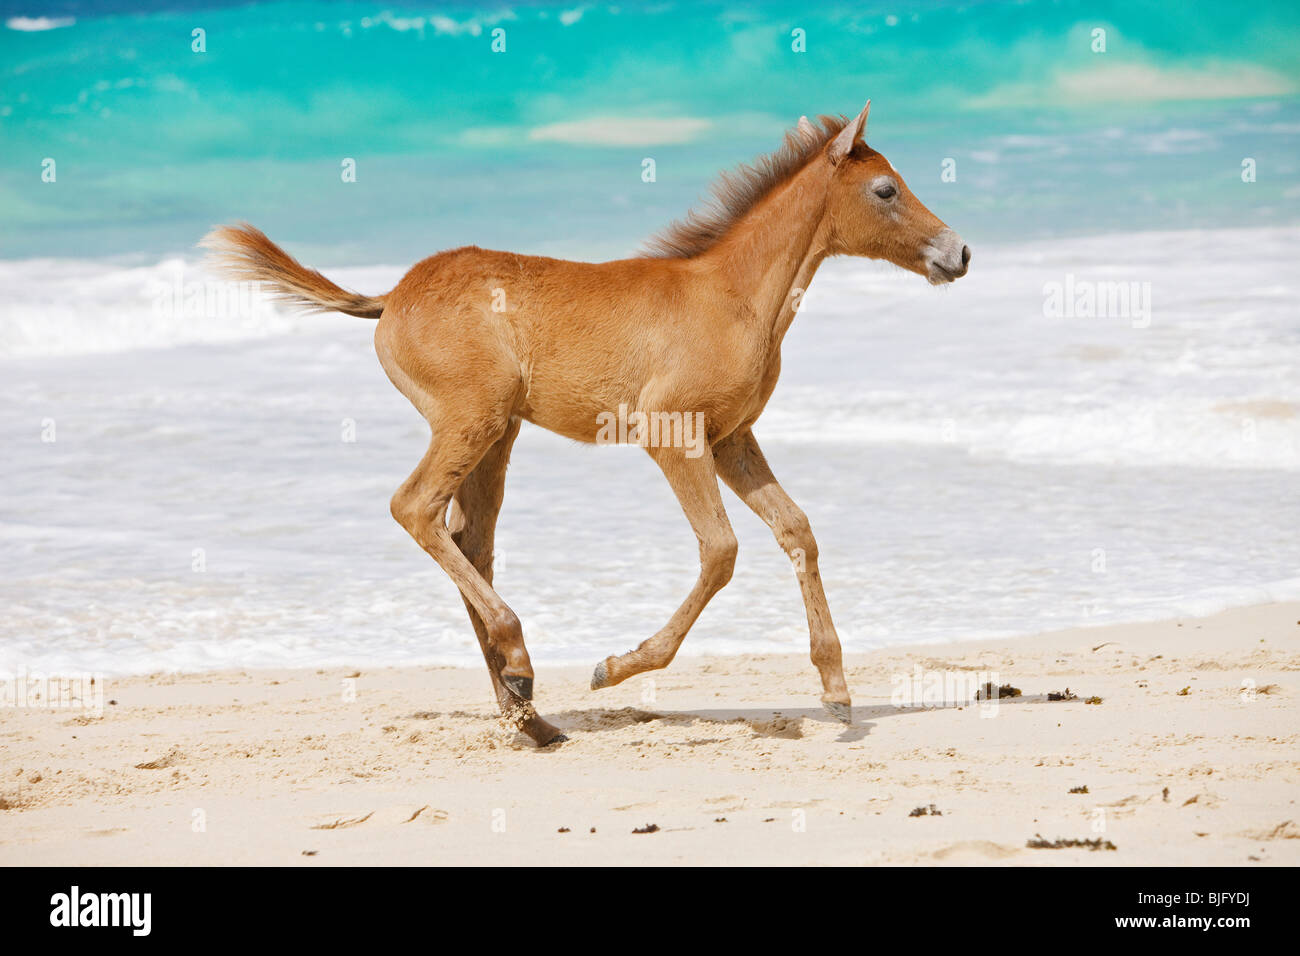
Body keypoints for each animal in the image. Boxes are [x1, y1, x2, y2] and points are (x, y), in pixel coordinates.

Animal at [204, 101, 970, 746]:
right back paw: (518, 661)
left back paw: (527, 713)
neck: (731, 298)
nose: (958, 253)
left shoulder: (731, 439)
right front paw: (616, 665)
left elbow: (797, 531)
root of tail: (392, 295)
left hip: (499, 435)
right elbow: (721, 551)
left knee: (469, 539)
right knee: (415, 508)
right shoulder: (672, 434)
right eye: (886, 191)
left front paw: (836, 688)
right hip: (471, 420)